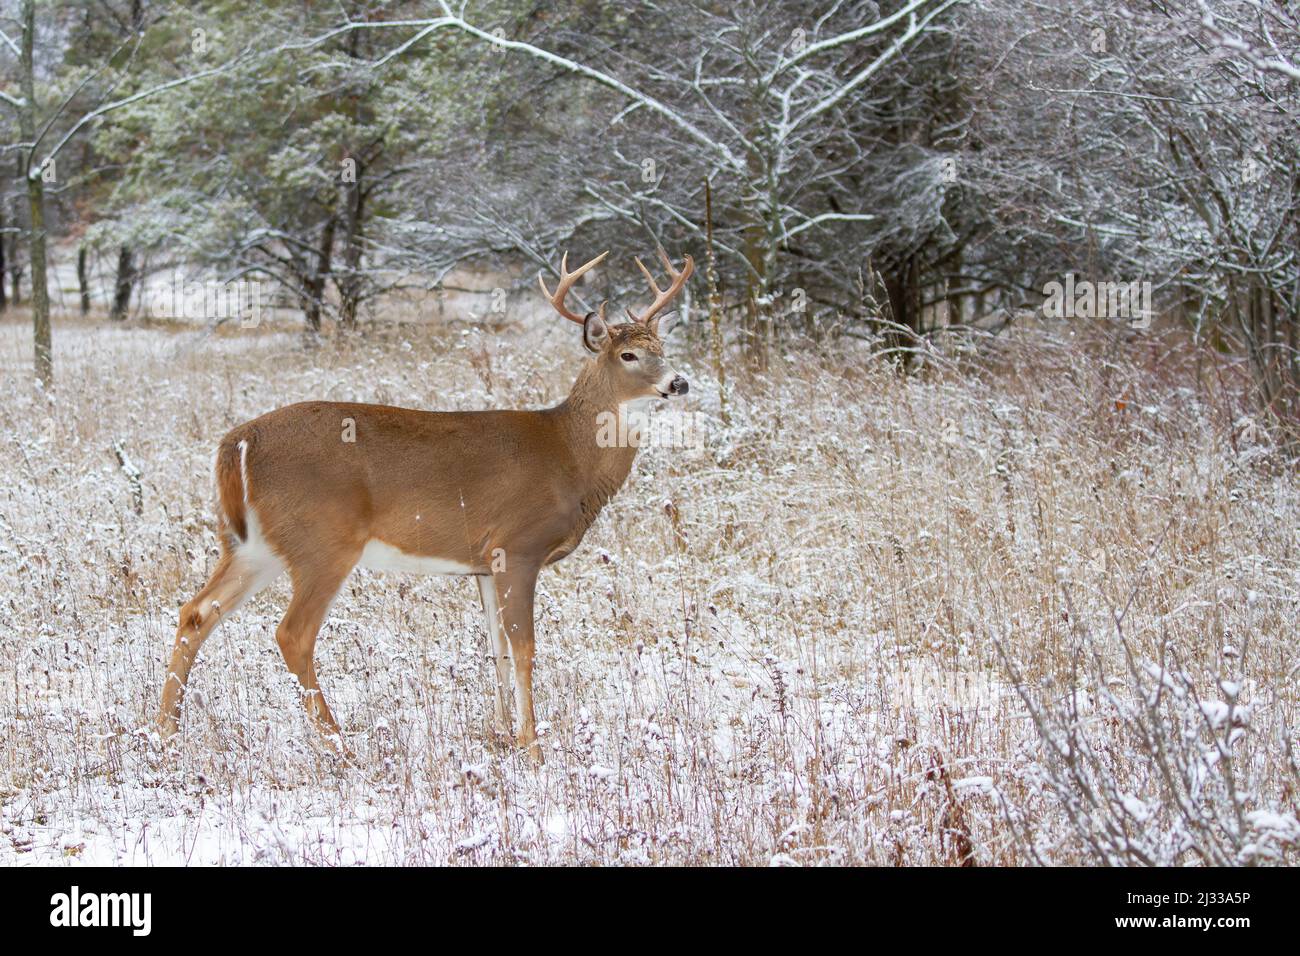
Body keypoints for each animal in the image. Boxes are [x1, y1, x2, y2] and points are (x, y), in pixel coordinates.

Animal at [157, 249, 693, 762]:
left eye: (662, 349)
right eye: (628, 354)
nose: (679, 382)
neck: (570, 456)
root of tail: (236, 442)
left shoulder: (483, 563)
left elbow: (496, 648)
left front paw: (501, 733)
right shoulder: (518, 545)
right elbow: (524, 648)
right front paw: (533, 747)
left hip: (253, 545)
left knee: (195, 613)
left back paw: (165, 730)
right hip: (323, 541)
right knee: (293, 634)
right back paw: (341, 746)